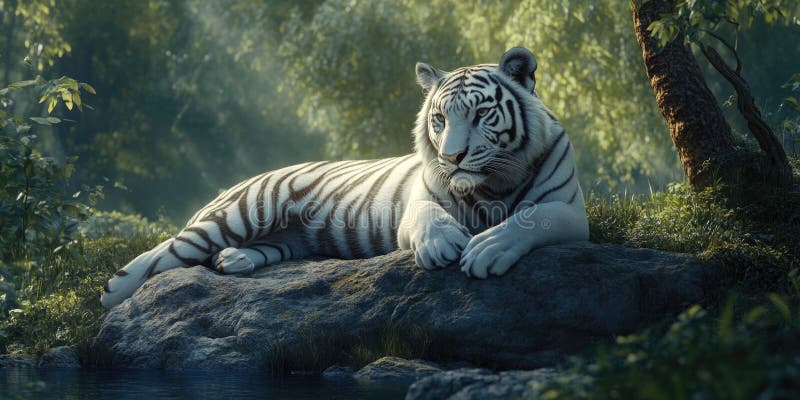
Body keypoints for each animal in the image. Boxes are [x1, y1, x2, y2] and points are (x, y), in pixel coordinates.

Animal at [100, 47, 589, 308]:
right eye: (439, 119)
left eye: (482, 114)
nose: (452, 157)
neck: (488, 187)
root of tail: (234, 185)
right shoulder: (417, 205)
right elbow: (429, 216)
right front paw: (442, 245)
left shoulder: (571, 212)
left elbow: (531, 220)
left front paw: (488, 249)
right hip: (241, 212)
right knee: (168, 249)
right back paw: (113, 290)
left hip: (287, 238)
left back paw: (233, 260)